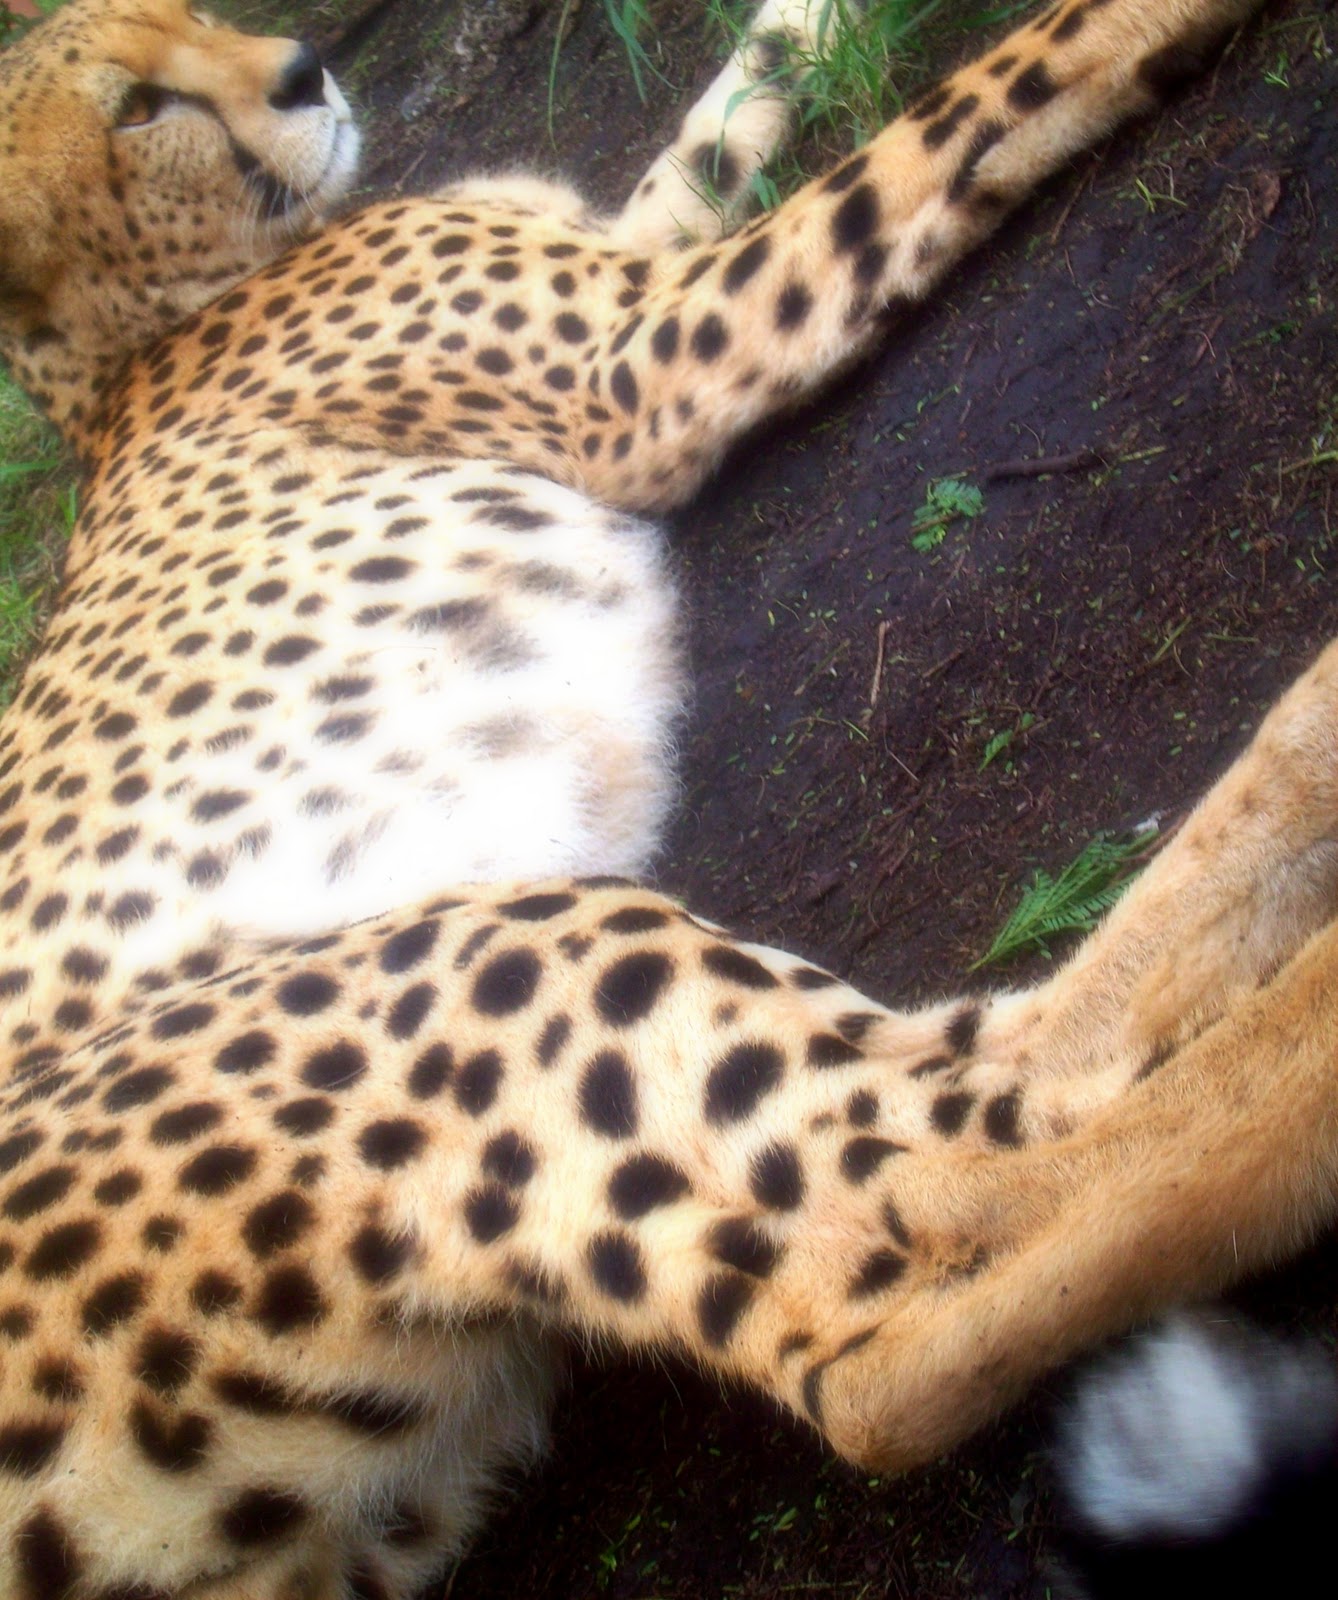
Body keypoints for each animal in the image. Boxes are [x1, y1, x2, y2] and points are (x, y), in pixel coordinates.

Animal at [5, 0, 1338, 1595]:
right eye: (134, 107)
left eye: (189, 19)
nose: (305, 71)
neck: (122, 357)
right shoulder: (646, 364)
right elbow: (976, 102)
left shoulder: (636, 251)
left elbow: (716, 129)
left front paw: (800, 27)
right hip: (479, 958)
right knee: (952, 1190)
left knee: (910, 1244)